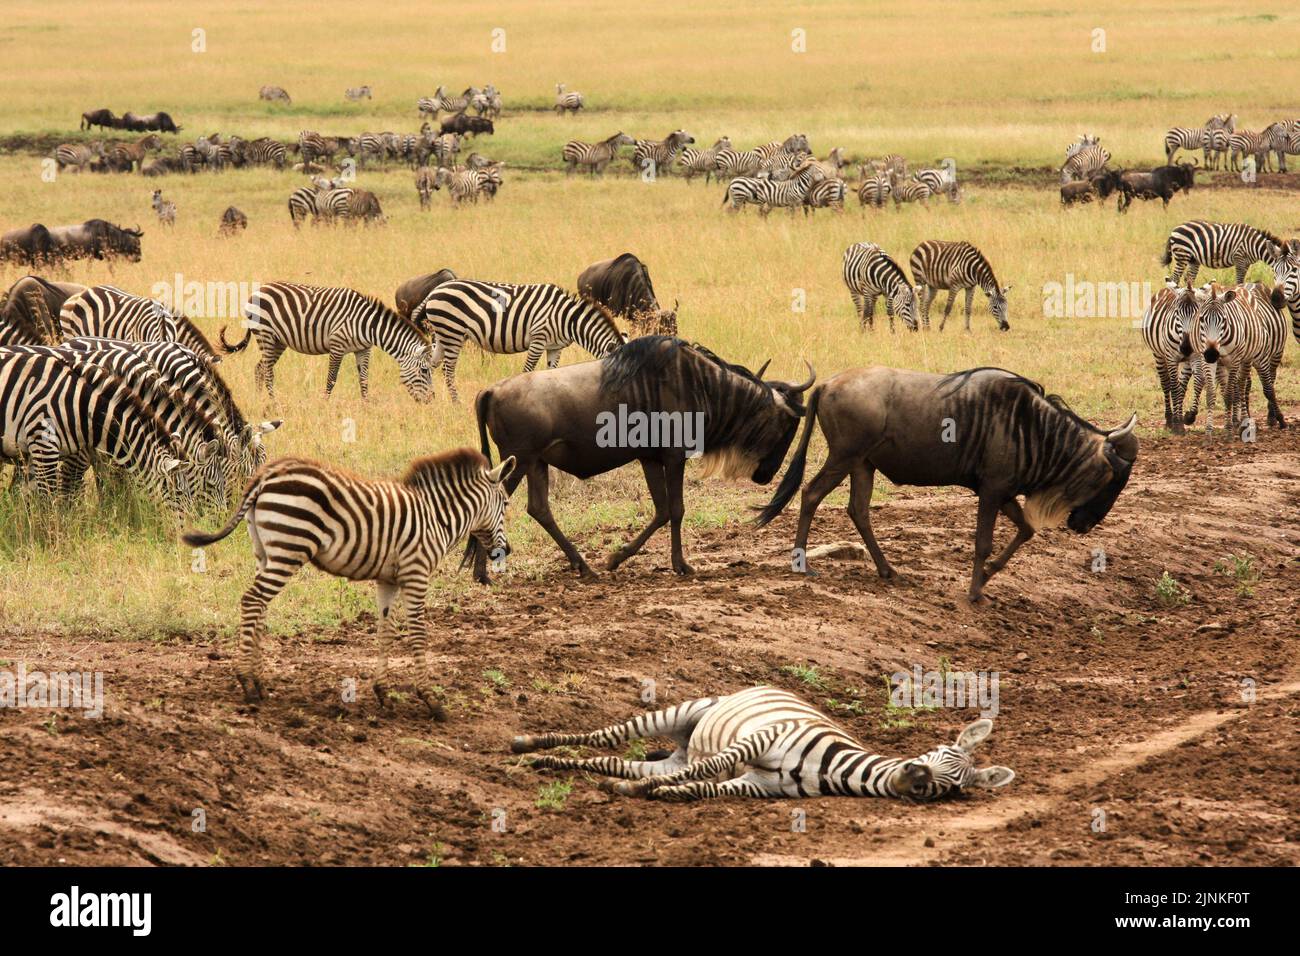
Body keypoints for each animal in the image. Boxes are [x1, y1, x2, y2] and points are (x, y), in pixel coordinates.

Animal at [180, 449, 514, 709]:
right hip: (290, 547)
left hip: (266, 552)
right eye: (507, 504)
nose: (506, 550)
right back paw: (246, 682)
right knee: (252, 600)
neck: (436, 518)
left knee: (259, 606)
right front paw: (430, 698)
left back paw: (260, 683)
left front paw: (383, 693)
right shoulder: (416, 573)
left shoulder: (389, 580)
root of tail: (267, 474)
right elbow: (418, 633)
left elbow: (385, 631)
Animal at [220, 282, 434, 402]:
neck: (367, 325)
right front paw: (324, 403)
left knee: (260, 369)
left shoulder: (363, 349)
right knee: (267, 371)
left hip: (278, 342)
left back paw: (260, 400)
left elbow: (364, 379)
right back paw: (274, 403)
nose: (431, 400)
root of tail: (257, 291)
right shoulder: (337, 346)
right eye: (424, 371)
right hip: (266, 336)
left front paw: (366, 406)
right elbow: (331, 379)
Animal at [417, 280, 625, 403]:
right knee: (448, 370)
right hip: (453, 332)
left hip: (443, 335)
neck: (568, 319)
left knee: (429, 364)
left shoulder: (555, 347)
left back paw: (429, 400)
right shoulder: (538, 338)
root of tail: (435, 290)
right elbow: (528, 370)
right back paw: (456, 403)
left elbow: (552, 372)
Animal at [1186, 284, 1289, 434]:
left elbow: (1234, 393)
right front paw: (1215, 427)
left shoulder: (1238, 359)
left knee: (1251, 386)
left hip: (1256, 357)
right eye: (1201, 319)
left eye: (1224, 320)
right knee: (1238, 386)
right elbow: (1214, 392)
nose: (1211, 354)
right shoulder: (1208, 360)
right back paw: (1239, 420)